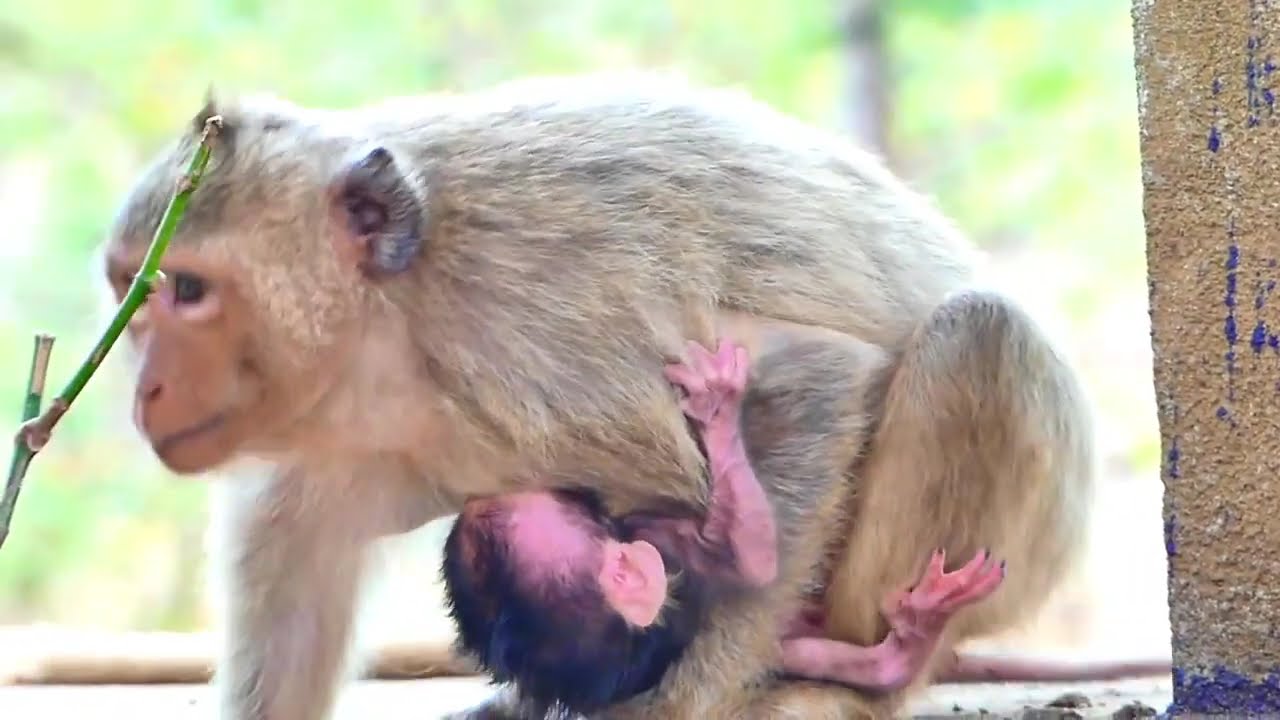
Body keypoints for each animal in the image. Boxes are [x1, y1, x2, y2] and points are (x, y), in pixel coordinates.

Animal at [100, 72, 1116, 720]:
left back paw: (859, 677)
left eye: (187, 290)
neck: (395, 331)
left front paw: (676, 708)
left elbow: (816, 380)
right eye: (132, 292)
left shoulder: (542, 331)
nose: (145, 390)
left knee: (979, 335)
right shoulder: (320, 457)